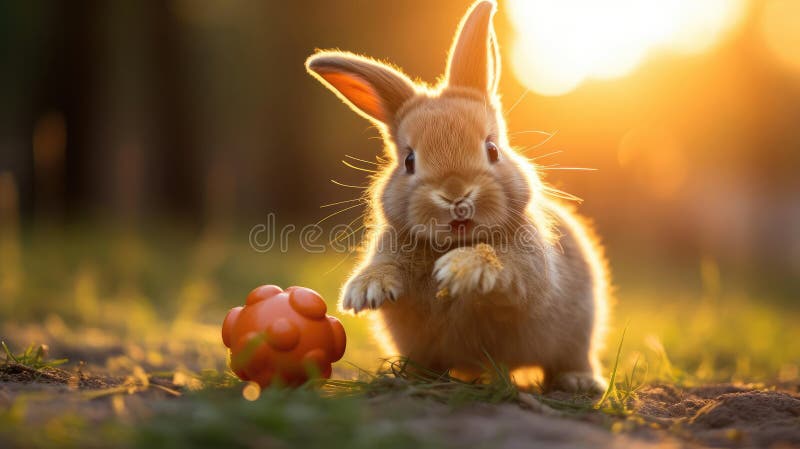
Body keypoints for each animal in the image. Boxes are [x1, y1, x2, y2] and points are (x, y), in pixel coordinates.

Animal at [305, 0, 610, 393]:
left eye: (492, 149)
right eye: (409, 160)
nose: (455, 195)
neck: (454, 241)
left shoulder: (530, 267)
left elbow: (505, 265)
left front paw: (461, 268)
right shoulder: (391, 249)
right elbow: (386, 266)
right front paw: (365, 290)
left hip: (579, 331)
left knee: (573, 359)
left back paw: (579, 382)